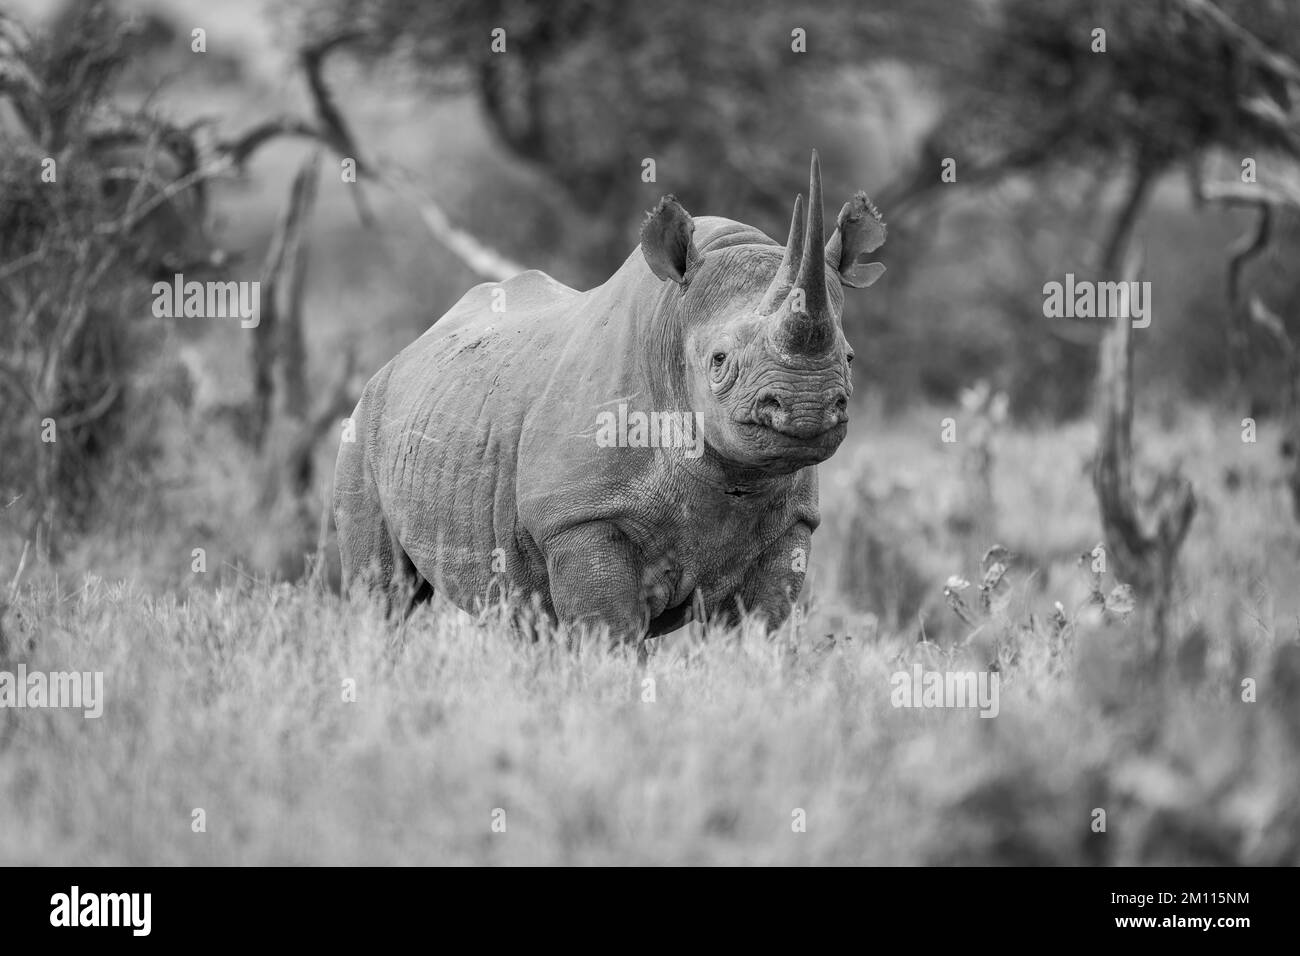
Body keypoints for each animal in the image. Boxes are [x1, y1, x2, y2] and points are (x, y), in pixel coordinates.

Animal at [333, 152, 885, 642]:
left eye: (850, 358)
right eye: (719, 361)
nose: (807, 406)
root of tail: (405, 352)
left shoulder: (791, 526)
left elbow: (754, 635)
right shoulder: (581, 517)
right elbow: (610, 635)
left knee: (524, 614)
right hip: (367, 422)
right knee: (384, 594)